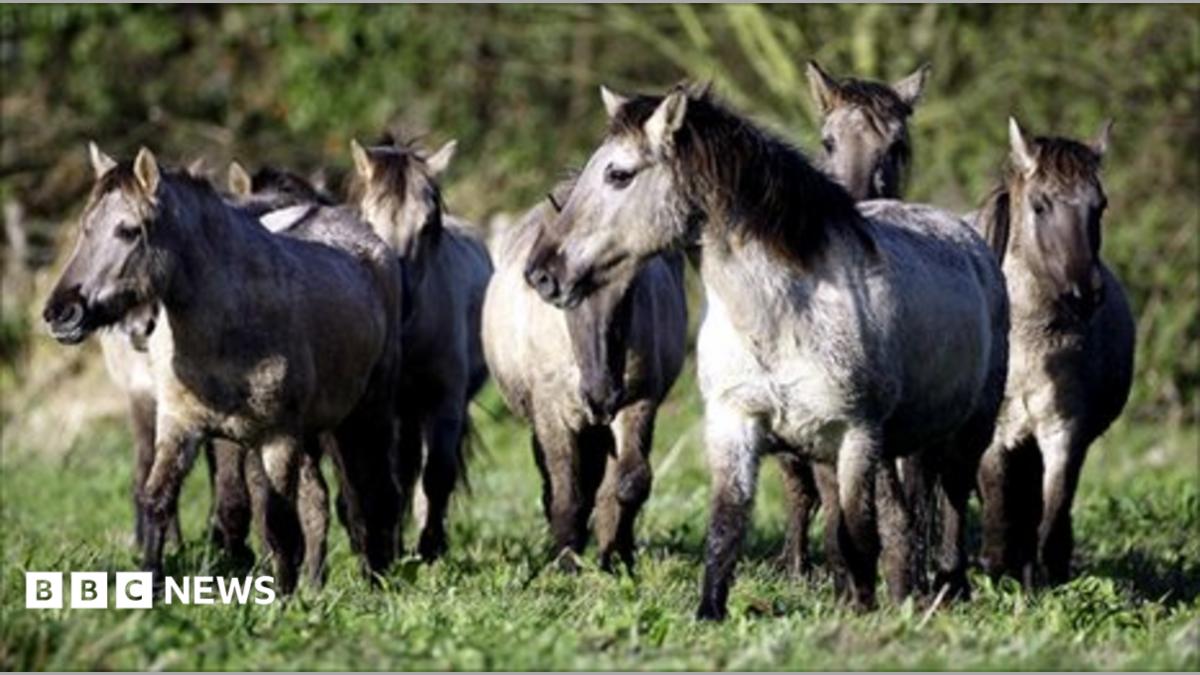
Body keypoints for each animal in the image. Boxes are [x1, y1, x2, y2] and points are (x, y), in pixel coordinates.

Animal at [42, 146, 407, 593]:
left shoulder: (276, 437)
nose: (61, 313)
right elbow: (158, 500)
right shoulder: (181, 427)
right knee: (317, 501)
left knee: (372, 495)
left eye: (128, 231)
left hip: (364, 415)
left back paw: (375, 580)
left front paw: (283, 600)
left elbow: (278, 522)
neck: (227, 322)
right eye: (86, 228)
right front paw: (151, 586)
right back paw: (316, 584)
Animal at [349, 136, 493, 560]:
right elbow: (393, 477)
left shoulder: (444, 403)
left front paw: (431, 547)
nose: (401, 302)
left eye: (428, 225)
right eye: (367, 222)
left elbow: (437, 476)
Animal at [485, 176, 687, 571]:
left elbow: (628, 483)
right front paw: (566, 563)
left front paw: (615, 557)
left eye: (628, 292)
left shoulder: (637, 404)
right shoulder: (552, 416)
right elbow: (567, 494)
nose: (600, 393)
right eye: (554, 288)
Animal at [524, 85, 1008, 619]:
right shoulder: (735, 423)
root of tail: (971, 240)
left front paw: (861, 612)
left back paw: (948, 585)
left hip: (963, 430)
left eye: (618, 174)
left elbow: (858, 536)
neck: (781, 315)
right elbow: (728, 525)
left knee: (952, 498)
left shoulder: (857, 435)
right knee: (899, 521)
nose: (542, 273)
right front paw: (710, 613)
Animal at [974, 118, 1135, 586]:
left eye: (1100, 206)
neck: (1028, 345)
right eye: (1040, 205)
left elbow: (1055, 505)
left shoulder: (1066, 431)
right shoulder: (996, 434)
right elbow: (998, 507)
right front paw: (998, 571)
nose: (1085, 293)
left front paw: (1045, 574)